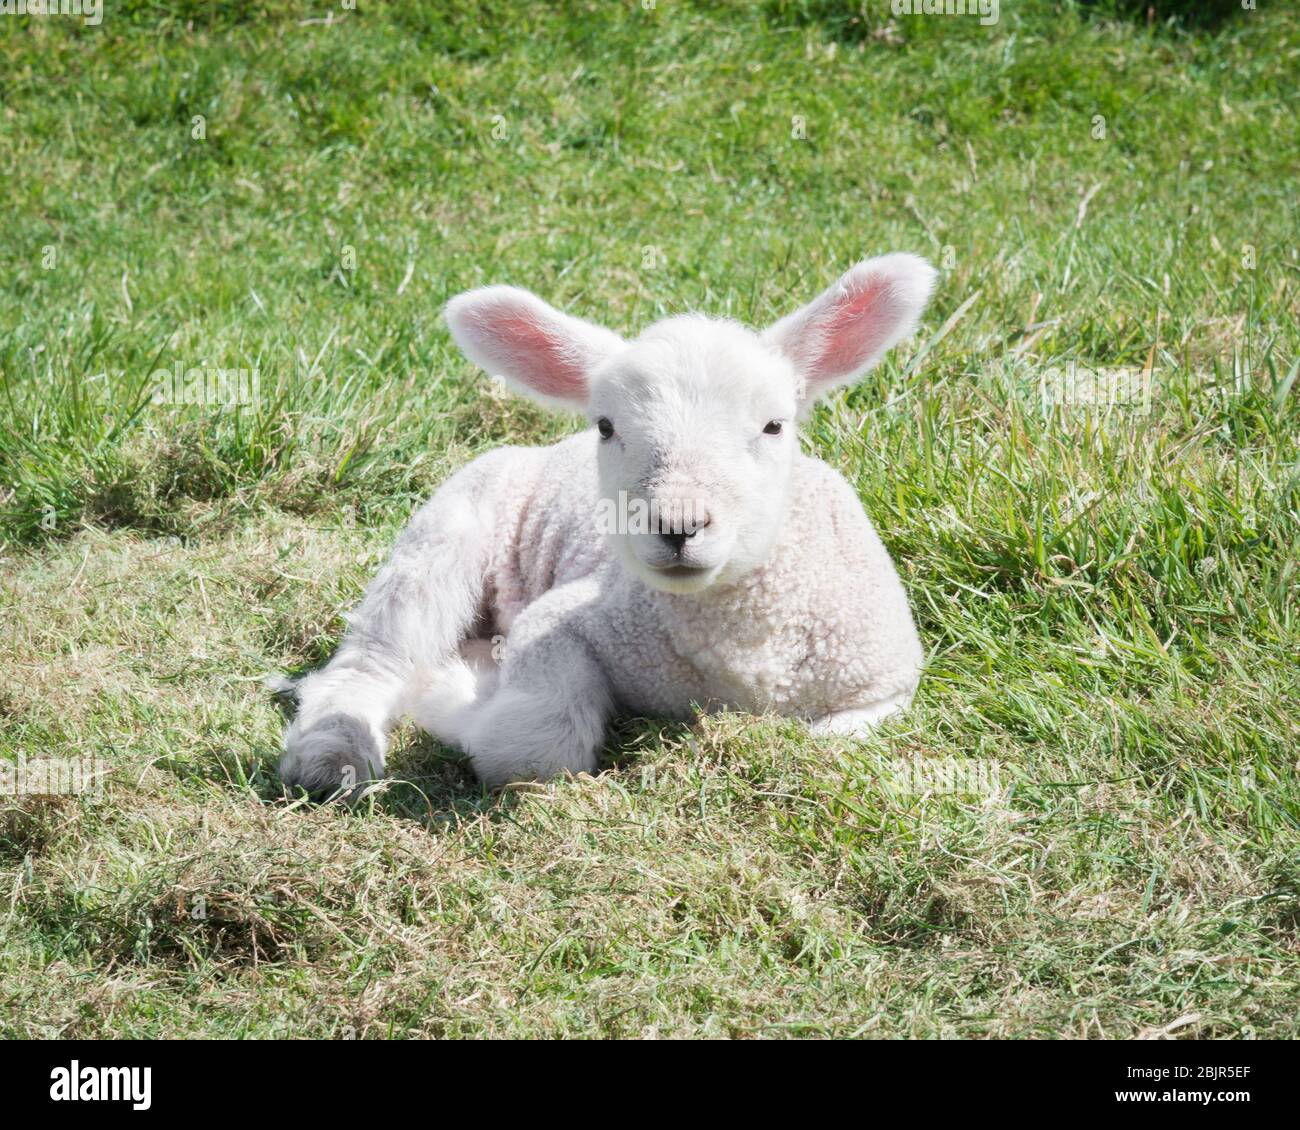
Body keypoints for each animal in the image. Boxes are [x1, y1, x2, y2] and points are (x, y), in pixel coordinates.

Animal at [277, 253, 937, 794]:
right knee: (373, 658)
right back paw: (333, 755)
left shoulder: (884, 683)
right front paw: (461, 686)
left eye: (775, 425)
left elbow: (828, 740)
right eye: (606, 426)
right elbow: (532, 749)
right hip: (443, 537)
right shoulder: (560, 623)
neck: (739, 658)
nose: (678, 524)